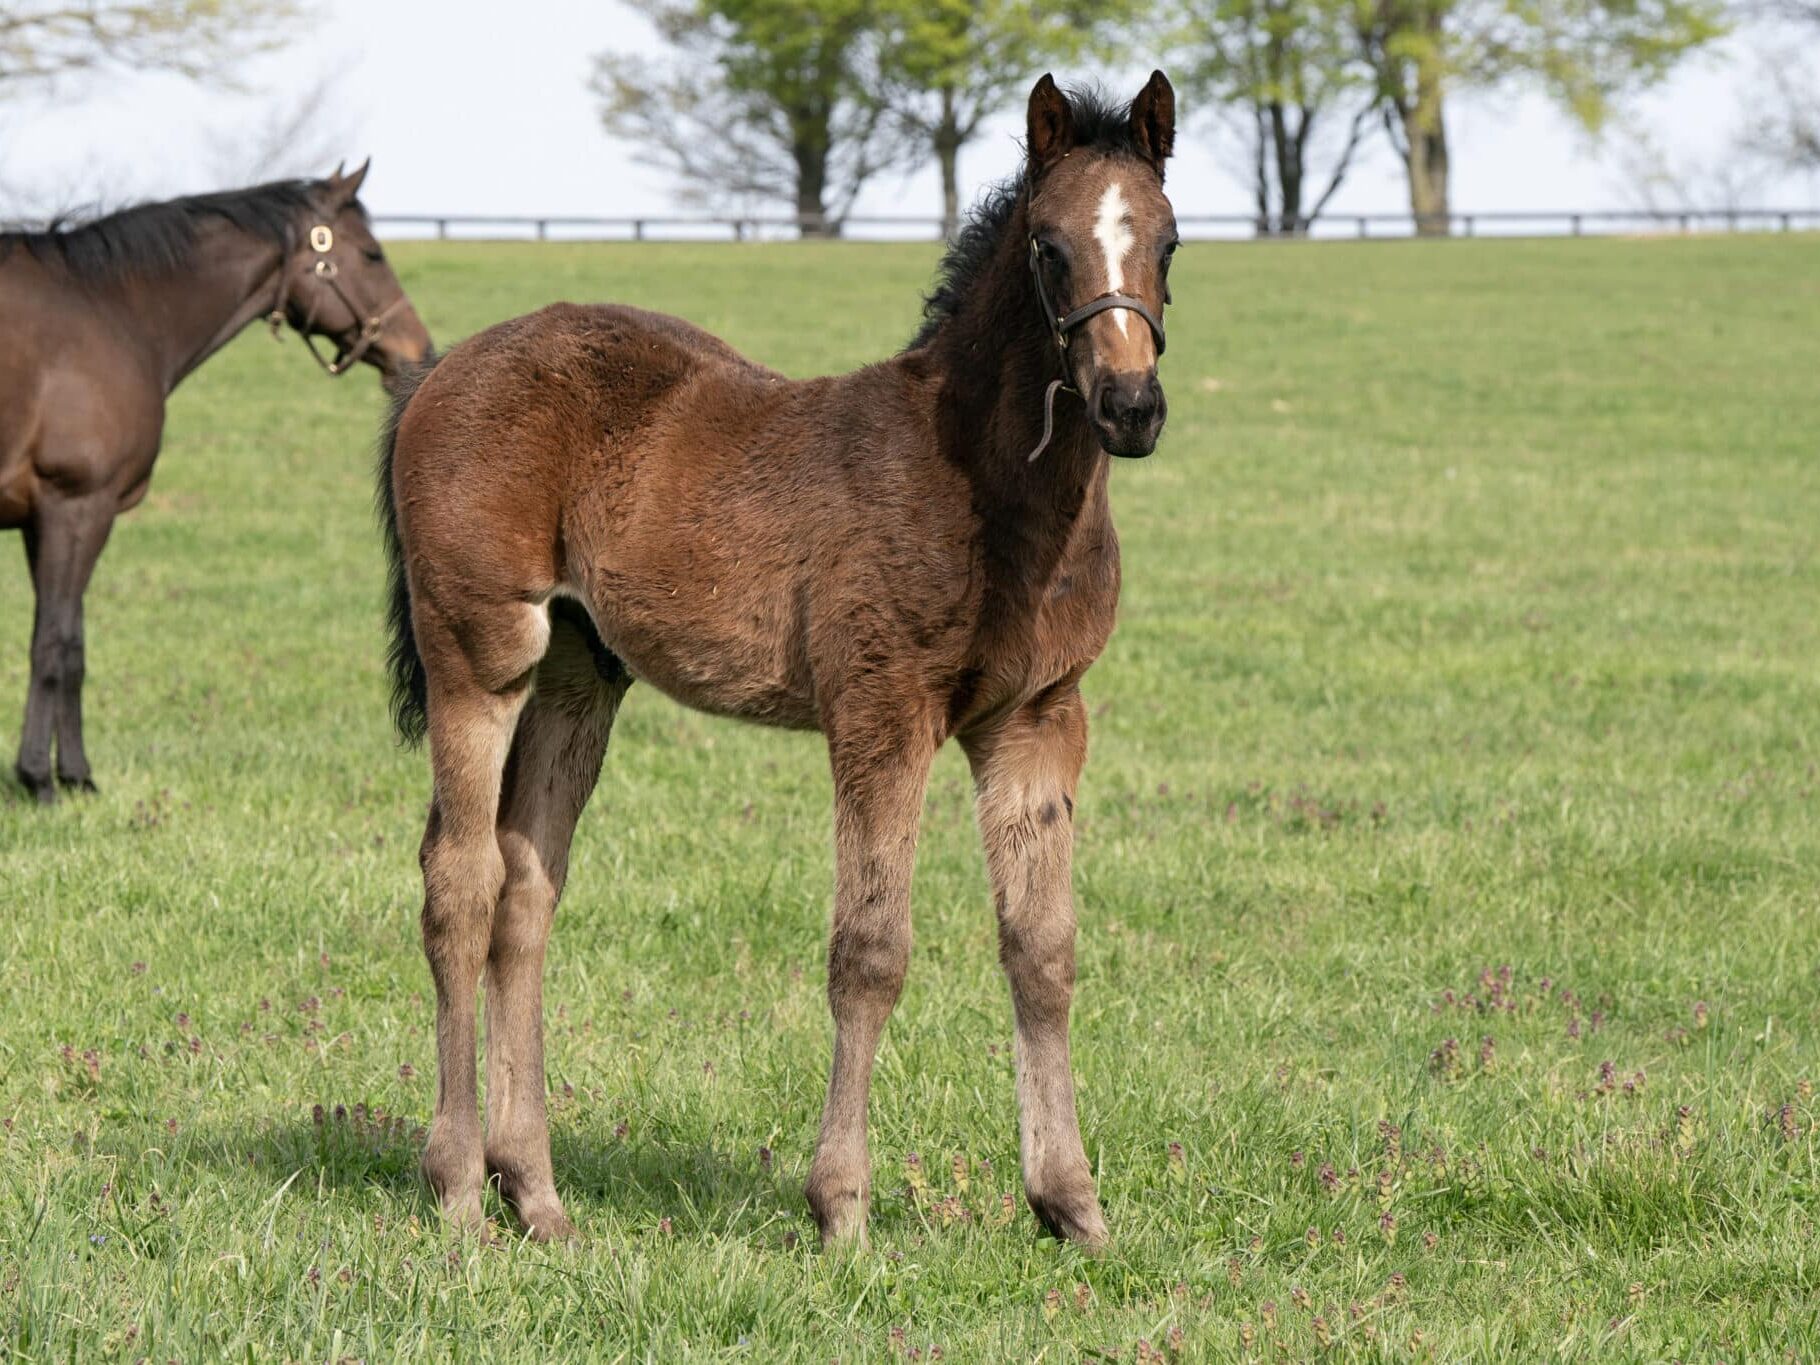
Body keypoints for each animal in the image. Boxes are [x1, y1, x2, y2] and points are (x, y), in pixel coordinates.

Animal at [0, 162, 433, 802]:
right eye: (372, 254)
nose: (419, 351)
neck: (109, 314)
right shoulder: (74, 508)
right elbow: (53, 645)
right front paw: (39, 780)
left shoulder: (51, 519)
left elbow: (72, 643)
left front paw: (75, 775)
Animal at [379, 73, 1177, 1248]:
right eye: (1048, 248)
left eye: (1167, 242)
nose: (1130, 407)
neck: (988, 495)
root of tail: (441, 372)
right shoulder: (881, 707)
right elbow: (870, 950)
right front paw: (840, 1207)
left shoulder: (1039, 717)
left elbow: (1041, 949)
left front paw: (1070, 1202)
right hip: (481, 651)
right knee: (461, 880)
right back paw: (457, 1193)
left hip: (578, 675)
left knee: (526, 889)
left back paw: (536, 1192)